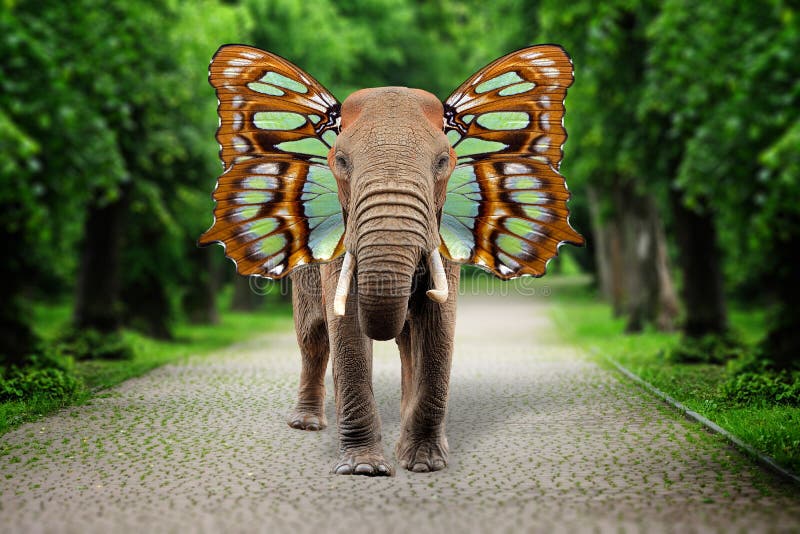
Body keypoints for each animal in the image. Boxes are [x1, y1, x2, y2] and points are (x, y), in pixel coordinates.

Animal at [200, 44, 583, 476]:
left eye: (443, 161)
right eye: (340, 161)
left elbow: (438, 327)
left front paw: (424, 463)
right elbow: (346, 330)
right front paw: (364, 469)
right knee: (313, 339)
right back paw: (307, 423)